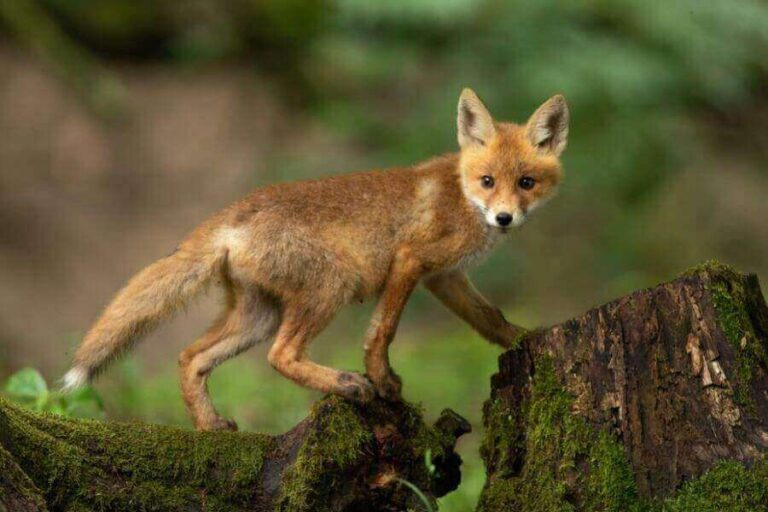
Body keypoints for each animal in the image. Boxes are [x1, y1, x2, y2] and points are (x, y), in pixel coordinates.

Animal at [61, 88, 569, 431]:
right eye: (488, 181)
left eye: (526, 182)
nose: (503, 218)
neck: (460, 196)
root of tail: (233, 211)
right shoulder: (410, 262)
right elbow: (382, 332)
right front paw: (382, 381)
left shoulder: (445, 278)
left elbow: (491, 319)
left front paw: (524, 340)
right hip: (330, 287)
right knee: (280, 356)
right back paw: (346, 384)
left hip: (258, 315)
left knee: (191, 356)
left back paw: (210, 426)